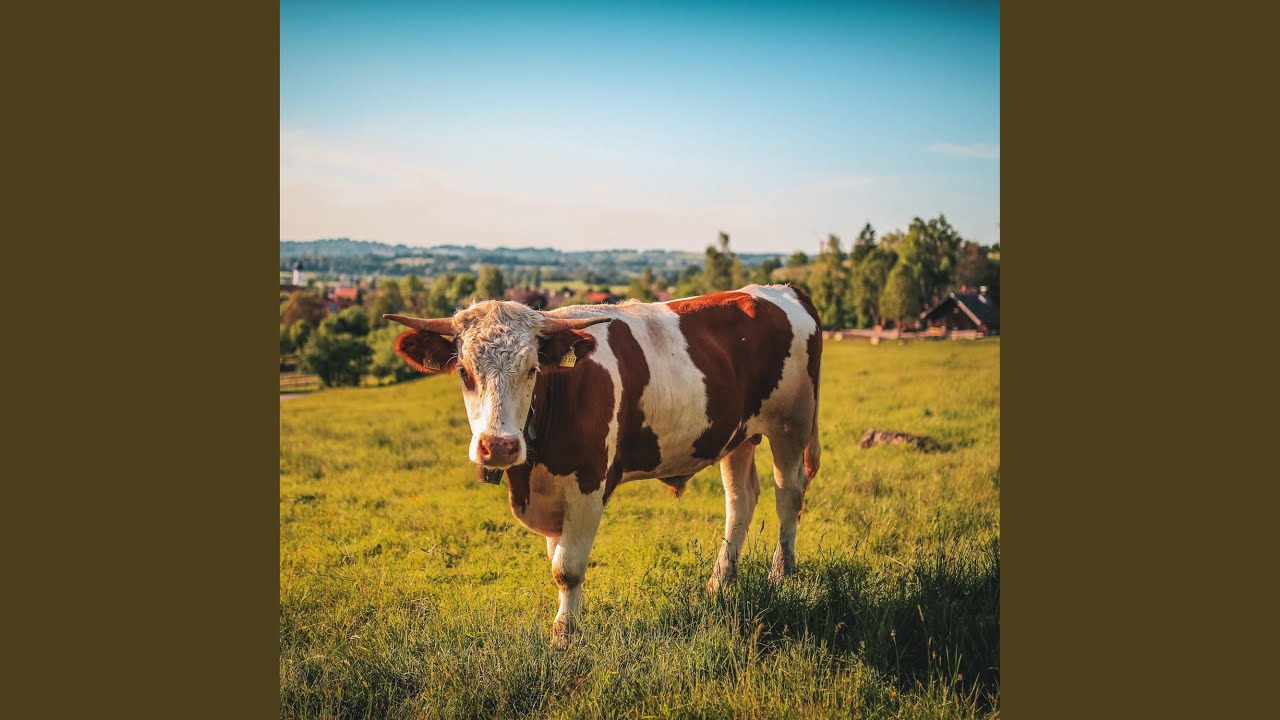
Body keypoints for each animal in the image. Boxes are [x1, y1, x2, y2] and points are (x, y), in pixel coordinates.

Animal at [385, 283, 822, 647]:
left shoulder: (588, 484)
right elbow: (556, 558)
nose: (499, 446)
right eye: (463, 371)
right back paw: (721, 581)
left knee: (788, 494)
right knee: (740, 500)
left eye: (532, 369)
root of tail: (780, 290)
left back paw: (781, 573)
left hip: (792, 424)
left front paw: (564, 635)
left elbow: (568, 568)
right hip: (738, 435)